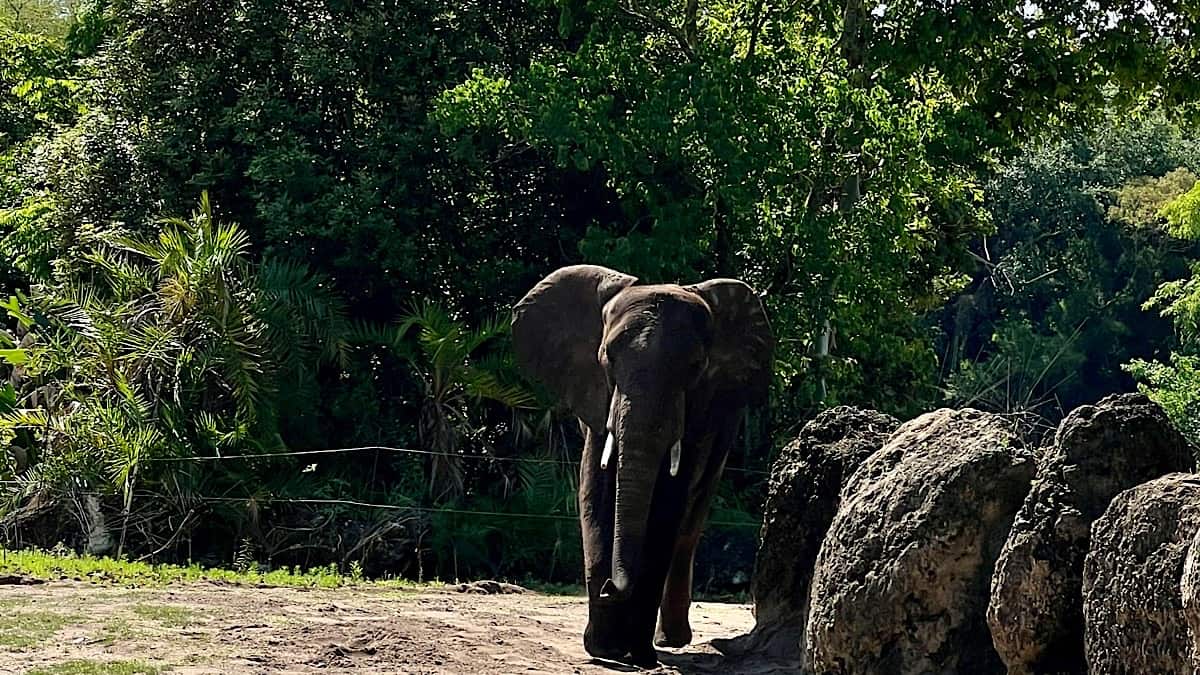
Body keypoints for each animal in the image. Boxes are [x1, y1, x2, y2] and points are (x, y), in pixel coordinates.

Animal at [511, 264, 773, 666]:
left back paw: (671, 641)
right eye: (607, 358)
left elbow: (667, 504)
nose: (609, 586)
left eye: (696, 367)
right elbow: (594, 493)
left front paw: (635, 654)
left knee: (690, 520)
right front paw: (605, 650)